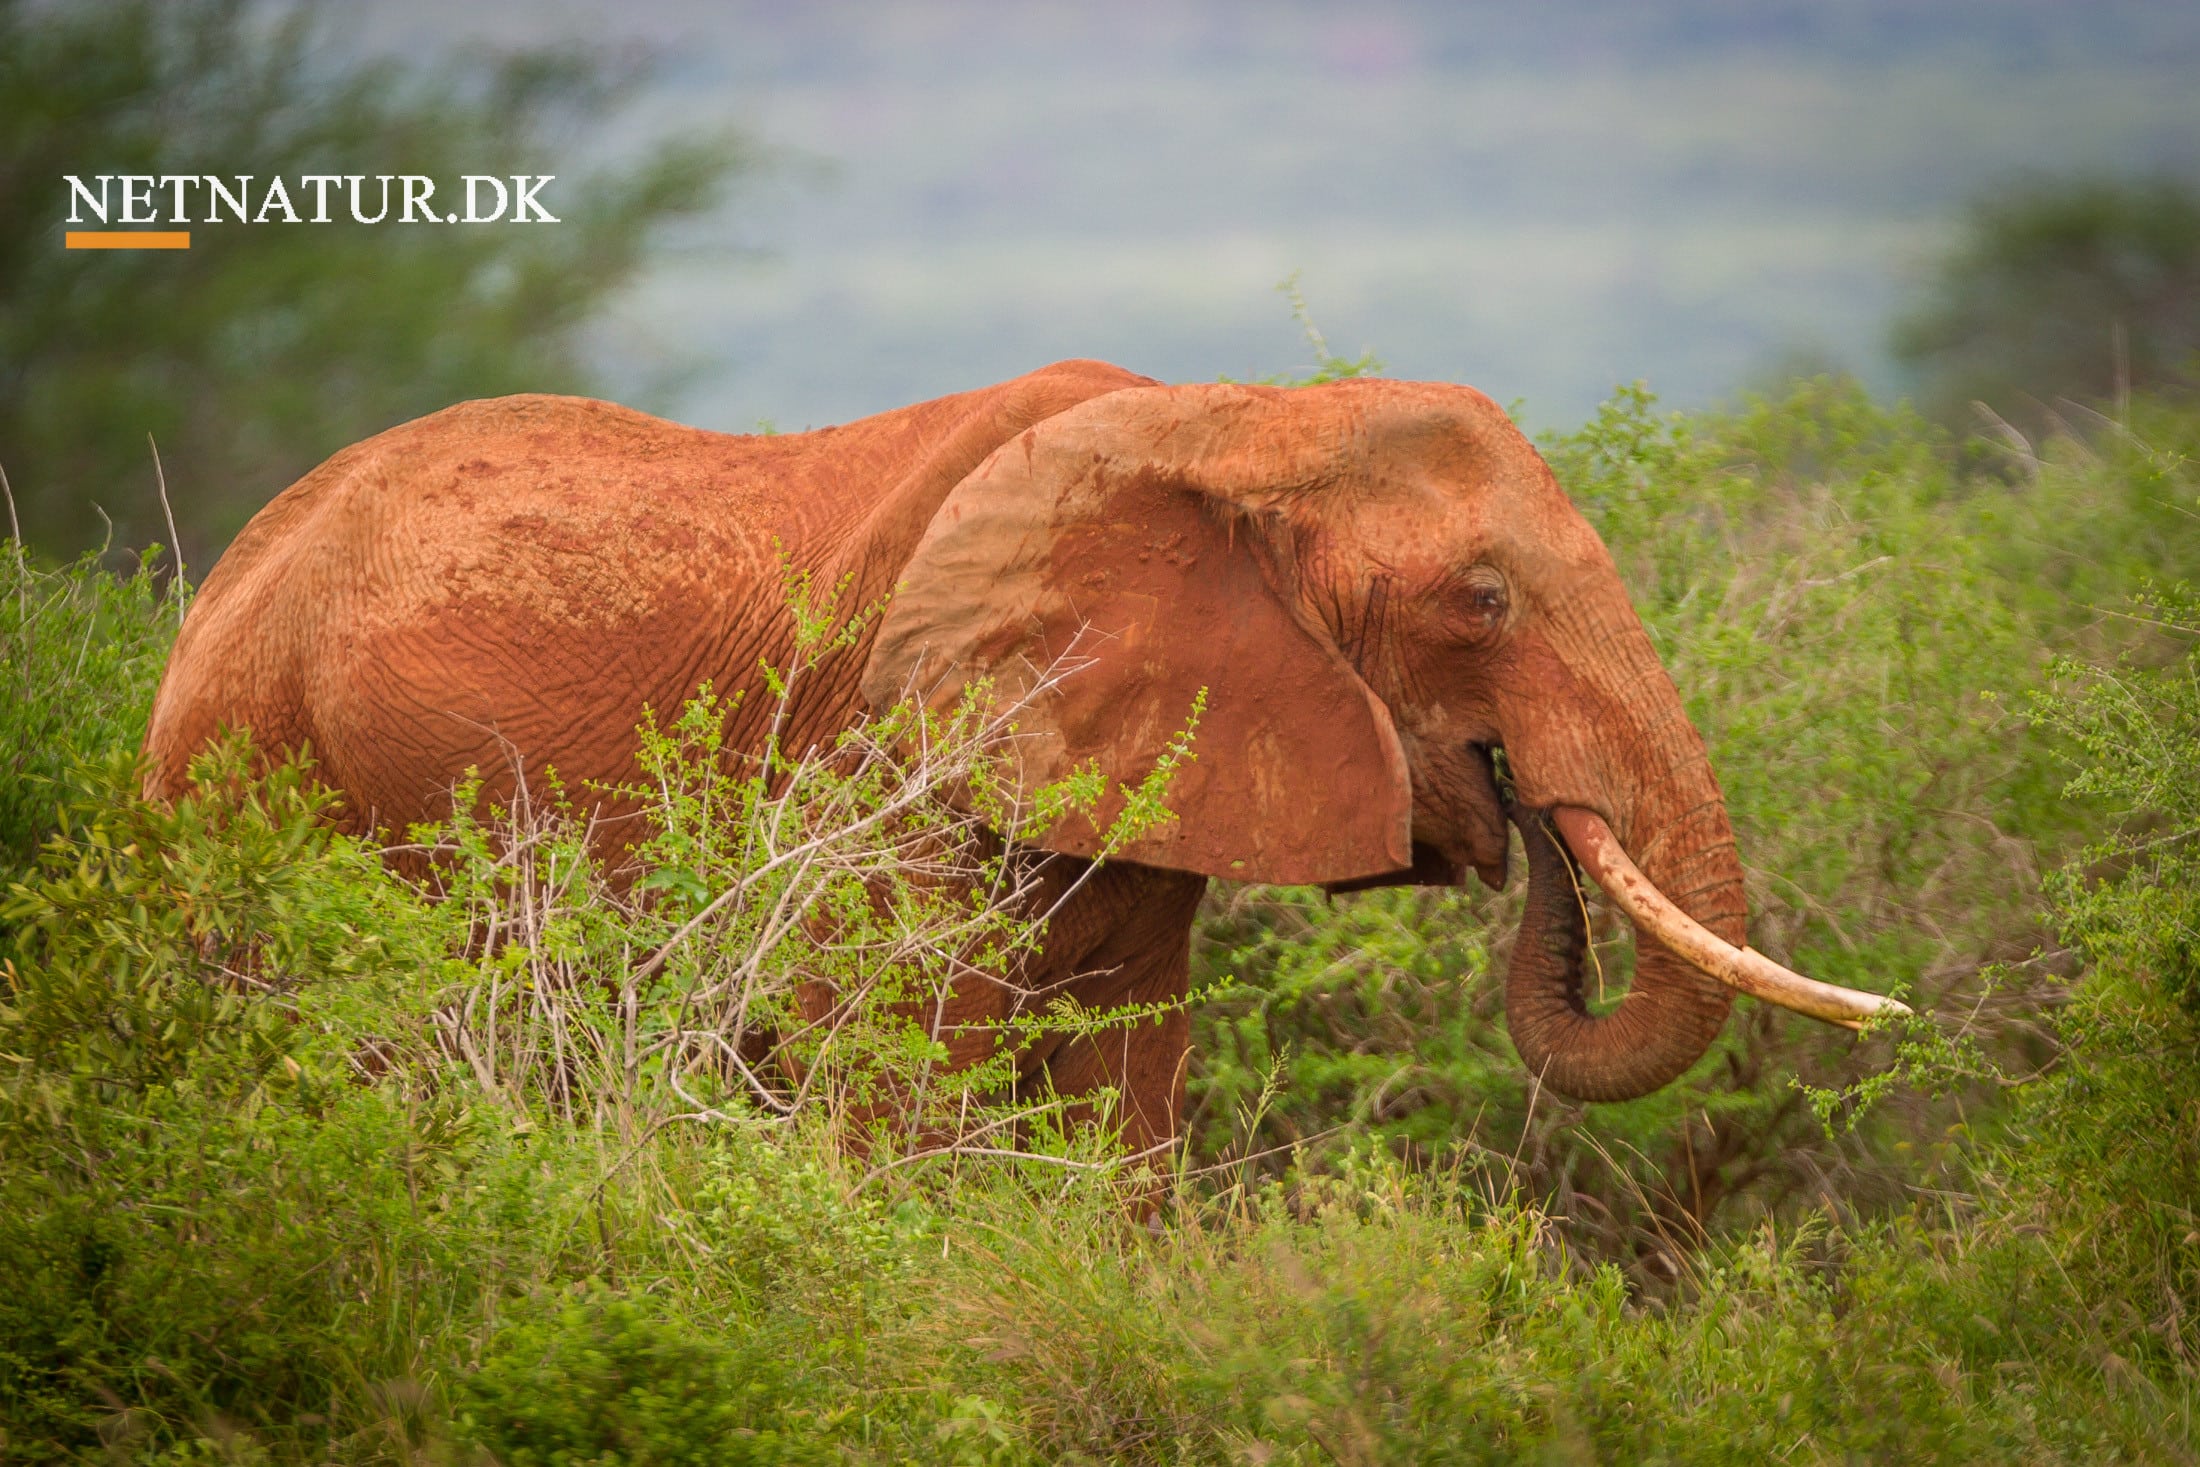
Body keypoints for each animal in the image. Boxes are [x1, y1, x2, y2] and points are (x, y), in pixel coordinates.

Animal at [142, 359, 1904, 1153]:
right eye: (1481, 599)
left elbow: (1120, 1095)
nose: (1521, 806)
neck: (1235, 417)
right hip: (261, 782)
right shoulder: (897, 756)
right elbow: (899, 1083)